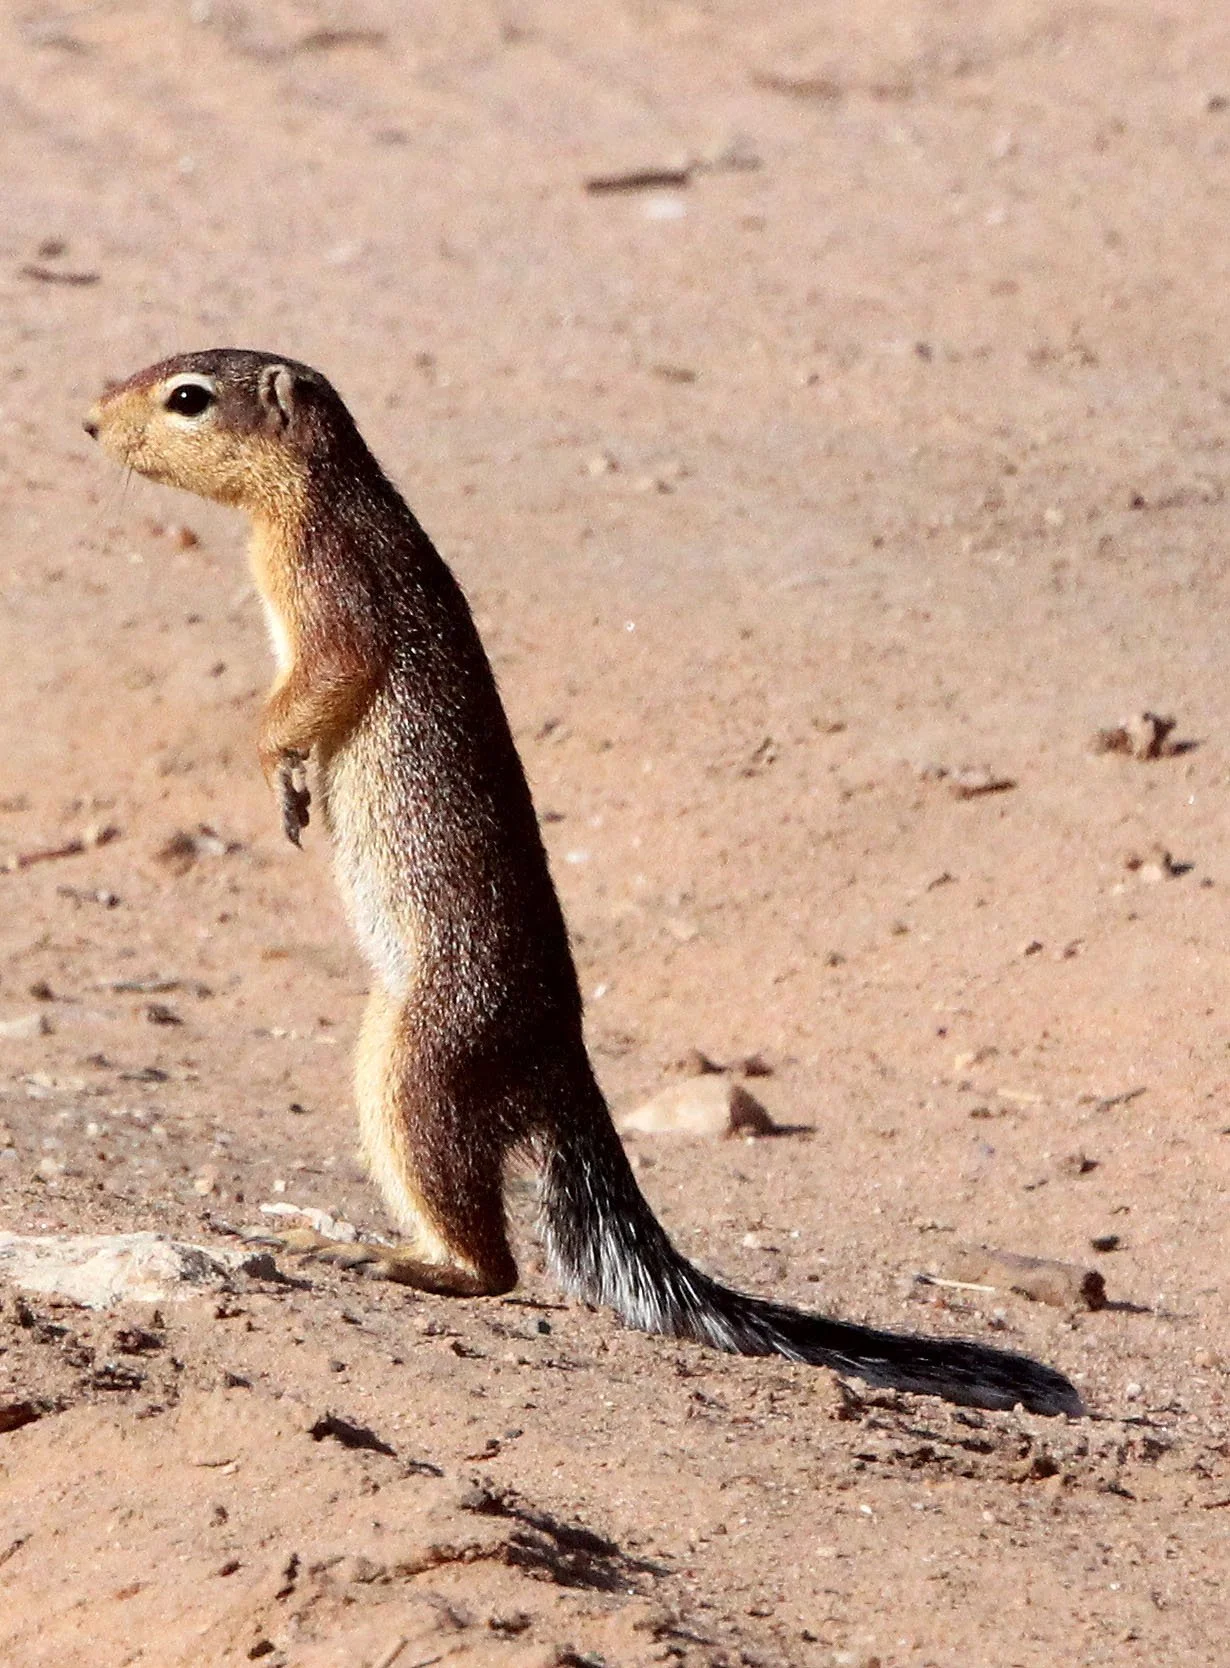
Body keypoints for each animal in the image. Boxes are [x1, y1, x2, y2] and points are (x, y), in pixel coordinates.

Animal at [85, 349, 1083, 1417]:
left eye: (187, 397)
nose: (90, 424)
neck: (326, 492)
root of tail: (561, 1058)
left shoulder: (337, 587)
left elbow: (315, 689)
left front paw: (277, 771)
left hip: (413, 1064)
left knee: (494, 1264)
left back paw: (388, 1258)